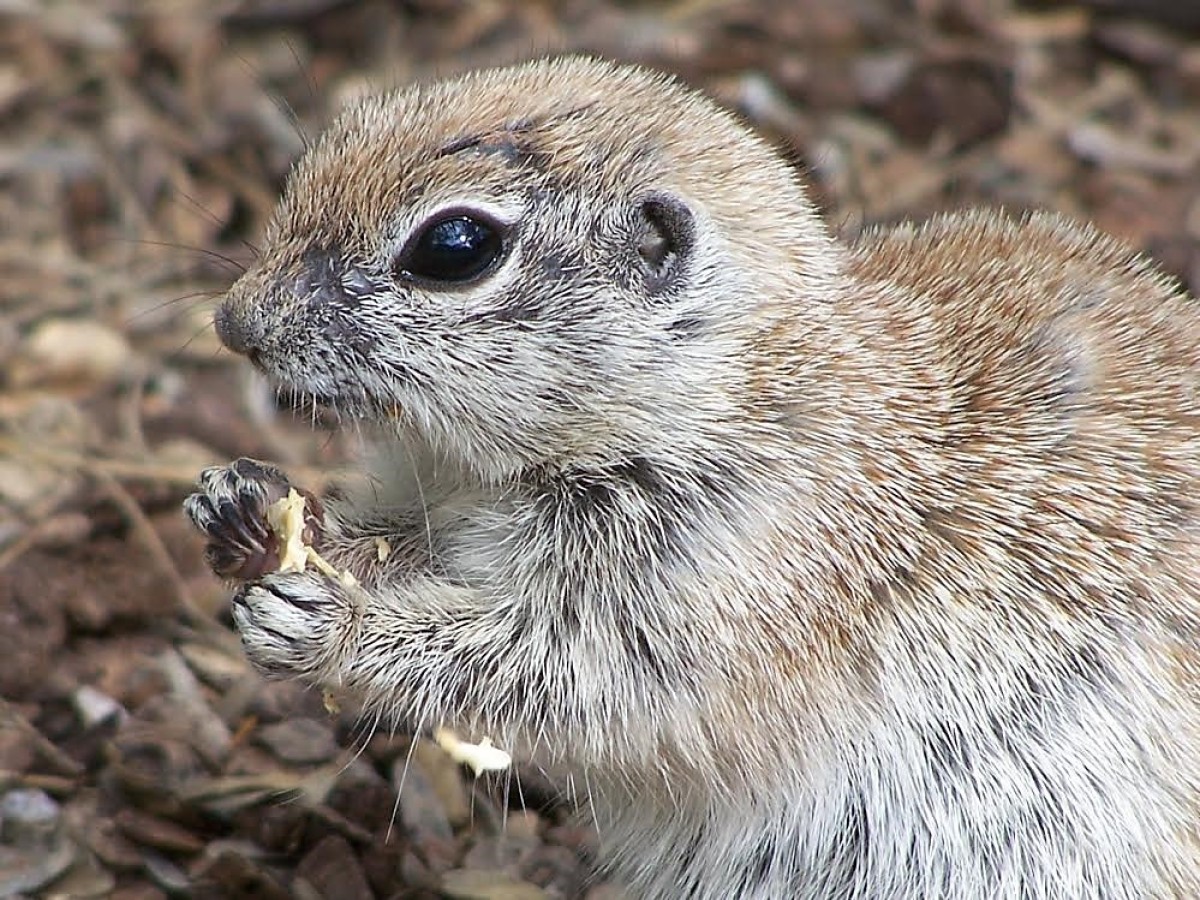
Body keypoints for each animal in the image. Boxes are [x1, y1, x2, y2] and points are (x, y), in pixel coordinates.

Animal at [184, 56, 1200, 898]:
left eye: (455, 246)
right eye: (333, 142)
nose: (235, 323)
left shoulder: (725, 581)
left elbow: (567, 671)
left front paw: (329, 624)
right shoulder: (441, 496)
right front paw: (242, 507)